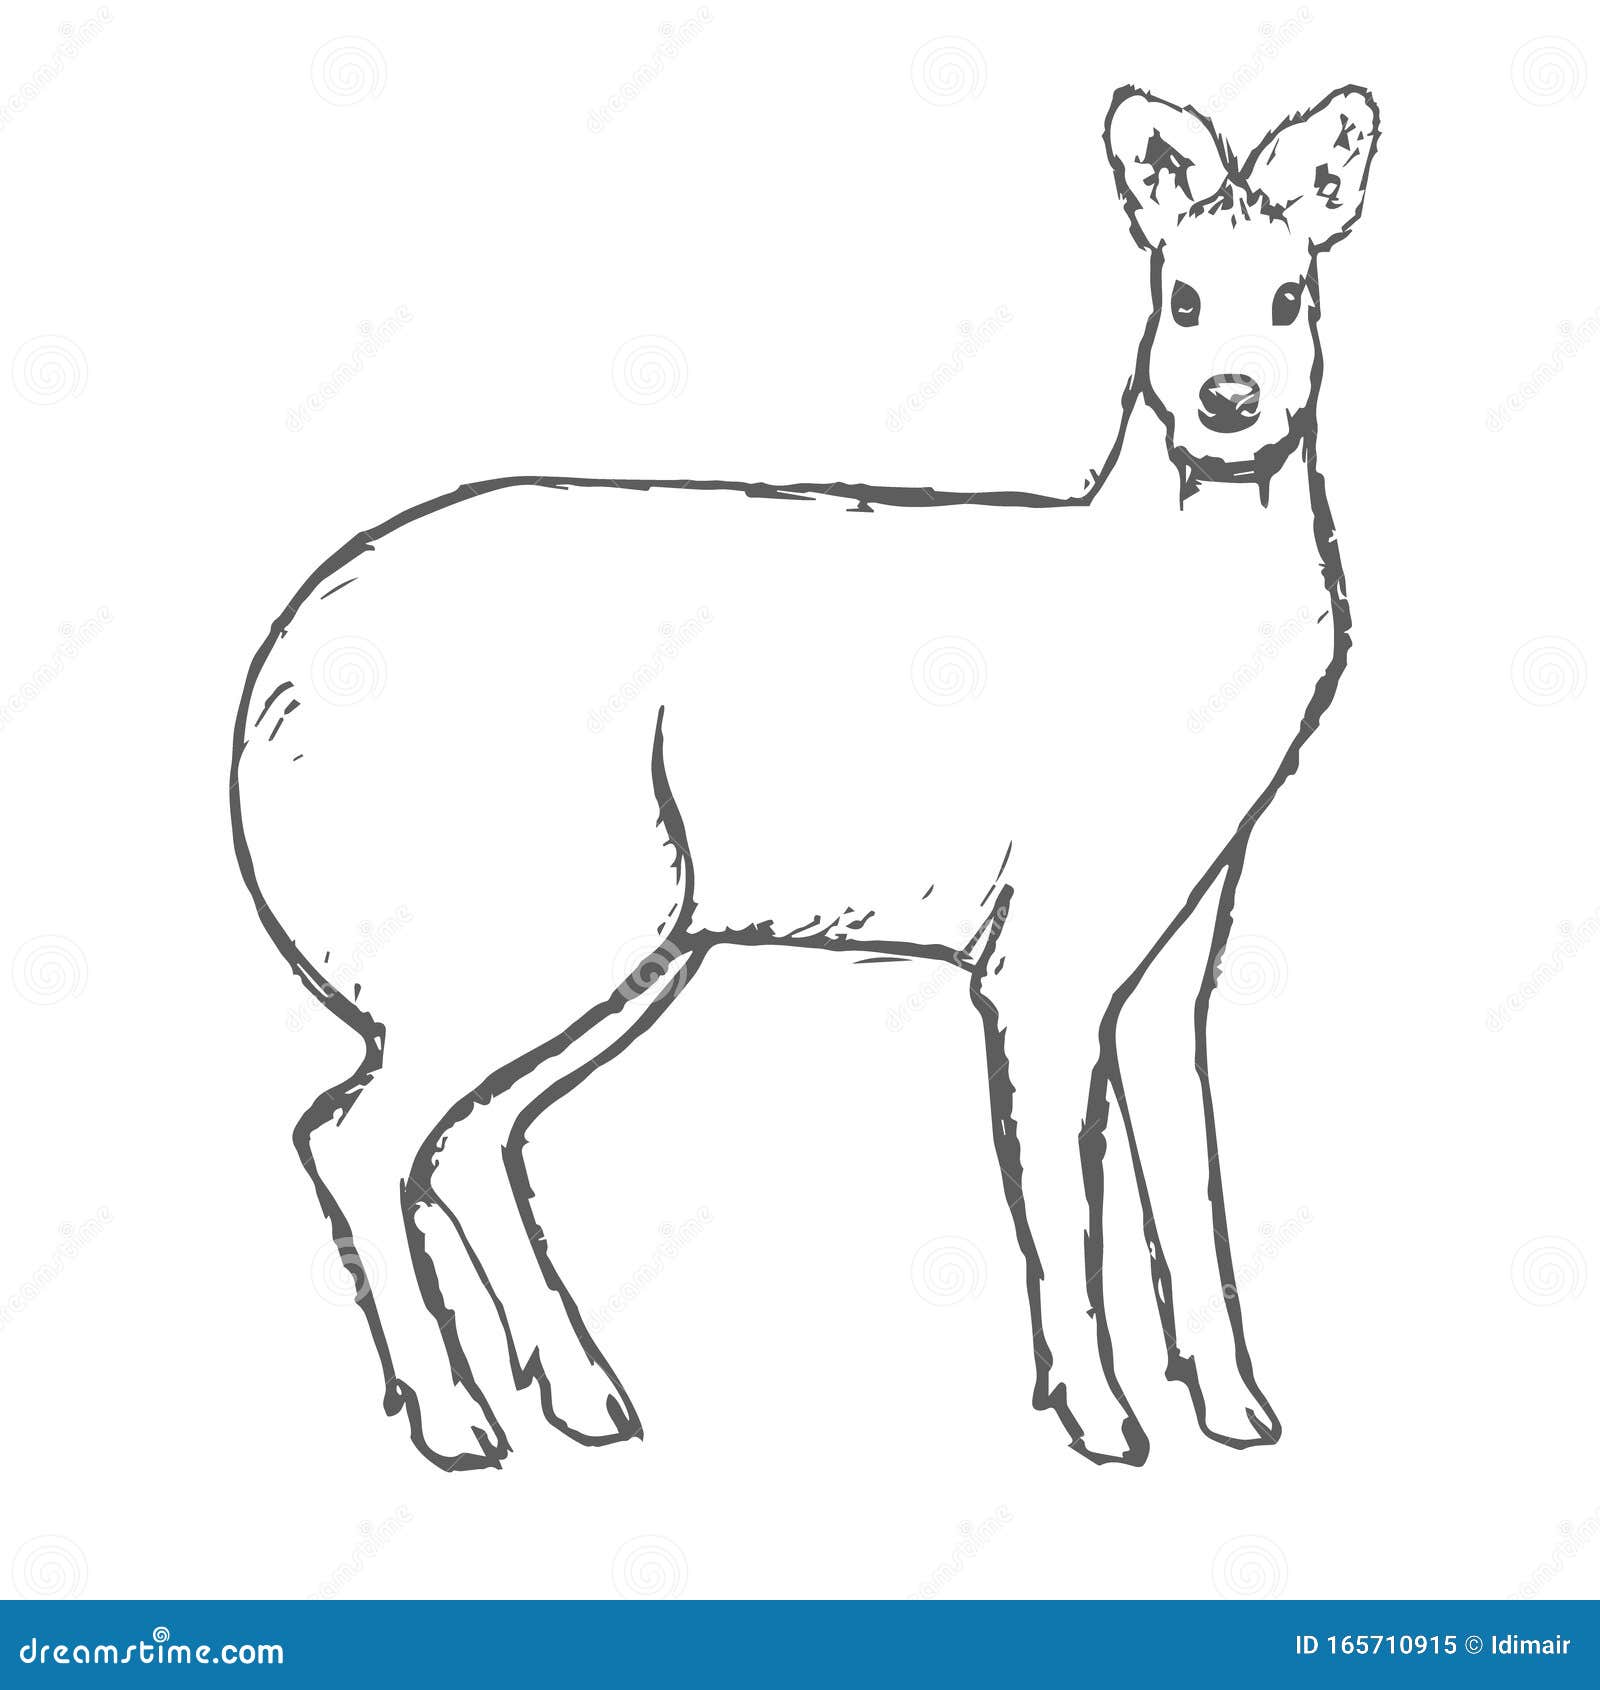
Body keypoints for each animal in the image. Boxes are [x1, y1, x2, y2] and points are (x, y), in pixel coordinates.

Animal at [231, 86, 1379, 1471]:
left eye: (1291, 295)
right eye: (1182, 294)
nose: (1226, 402)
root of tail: (268, 701)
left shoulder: (1173, 937)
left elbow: (1190, 1178)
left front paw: (1242, 1415)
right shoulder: (1037, 957)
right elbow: (1061, 1201)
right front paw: (1103, 1423)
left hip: (644, 940)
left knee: (465, 1135)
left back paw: (591, 1402)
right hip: (545, 917)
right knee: (356, 1131)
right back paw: (459, 1425)